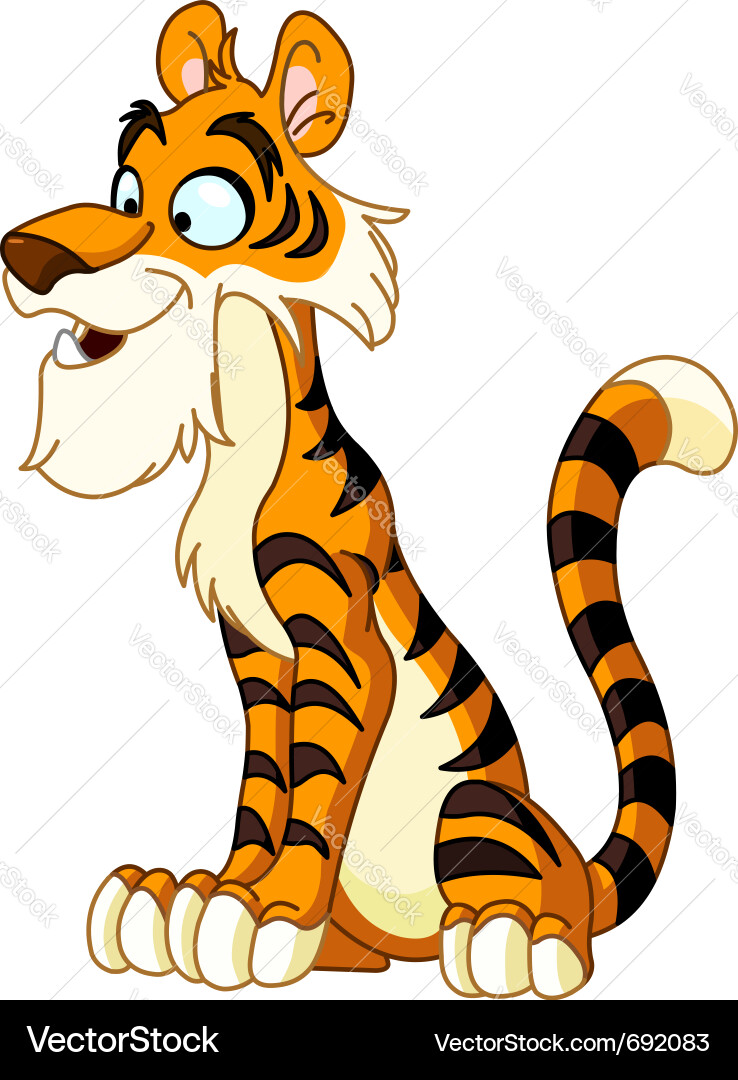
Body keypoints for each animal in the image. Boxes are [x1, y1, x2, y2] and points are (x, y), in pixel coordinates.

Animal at [2, 3, 735, 999]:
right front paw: (211, 900)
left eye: (202, 210)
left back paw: (512, 940)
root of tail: (573, 867)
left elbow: (313, 789)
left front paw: (268, 911)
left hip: (477, 808)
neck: (244, 449)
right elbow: (261, 788)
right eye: (121, 190)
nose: (25, 255)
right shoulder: (255, 651)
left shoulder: (340, 643)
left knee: (545, 912)